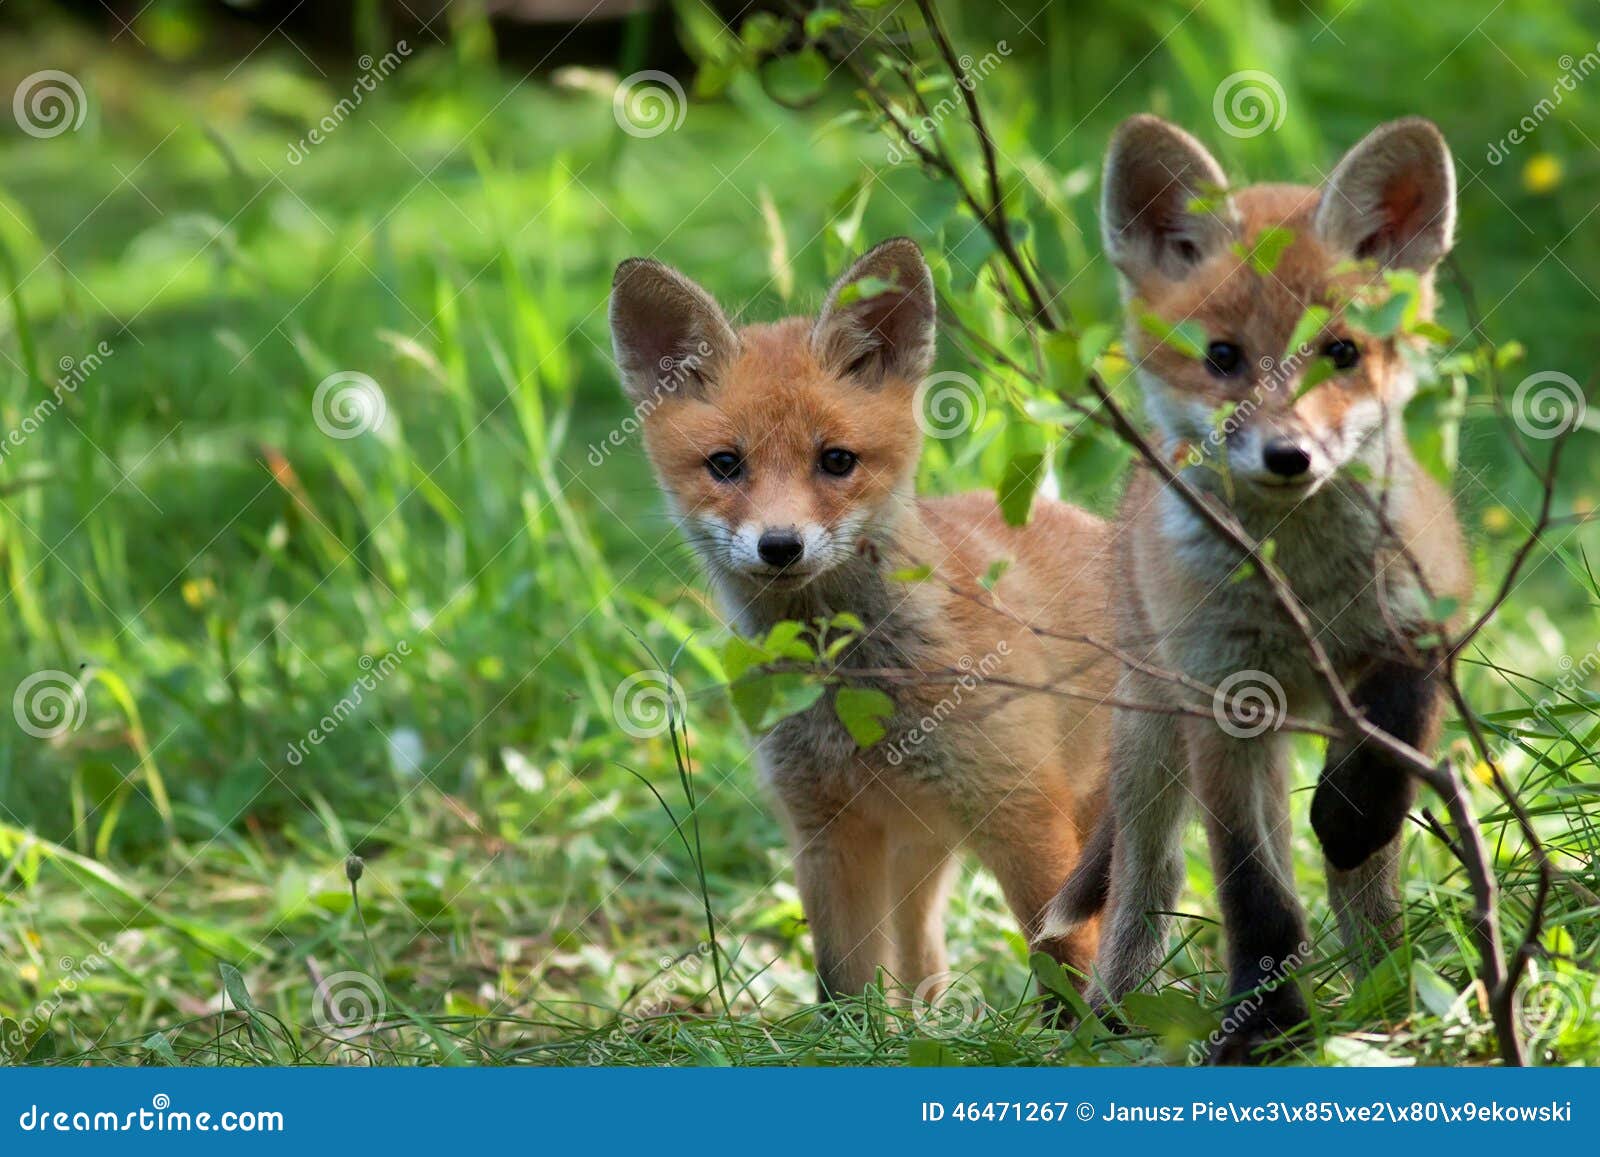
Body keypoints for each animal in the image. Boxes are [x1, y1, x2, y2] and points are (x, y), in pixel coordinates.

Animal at [608, 238, 1117, 1003]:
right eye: (726, 464)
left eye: (836, 460)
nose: (780, 545)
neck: (852, 691)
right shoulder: (826, 832)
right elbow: (844, 985)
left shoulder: (1022, 811)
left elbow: (1068, 964)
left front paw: (1096, 1028)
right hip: (919, 851)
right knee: (922, 960)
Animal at [1042, 116, 1473, 1061]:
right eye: (1223, 358)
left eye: (1342, 352)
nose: (1289, 456)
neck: (1299, 585)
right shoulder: (1223, 697)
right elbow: (1254, 891)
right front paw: (1265, 1030)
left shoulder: (1424, 616)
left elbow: (1388, 748)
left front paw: (1349, 814)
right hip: (1153, 739)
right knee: (1149, 876)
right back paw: (1112, 1016)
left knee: (1361, 891)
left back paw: (1389, 997)